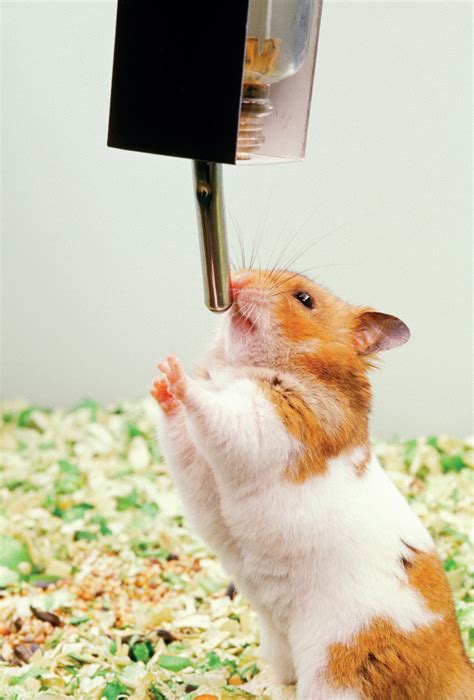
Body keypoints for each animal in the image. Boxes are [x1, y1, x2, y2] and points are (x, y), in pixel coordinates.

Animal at [151, 268, 472, 699]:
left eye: (304, 299)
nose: (235, 278)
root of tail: (456, 672)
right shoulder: (197, 466)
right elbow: (180, 440)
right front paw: (160, 382)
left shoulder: (274, 421)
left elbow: (219, 409)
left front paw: (175, 373)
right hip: (277, 640)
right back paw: (260, 683)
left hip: (337, 670)